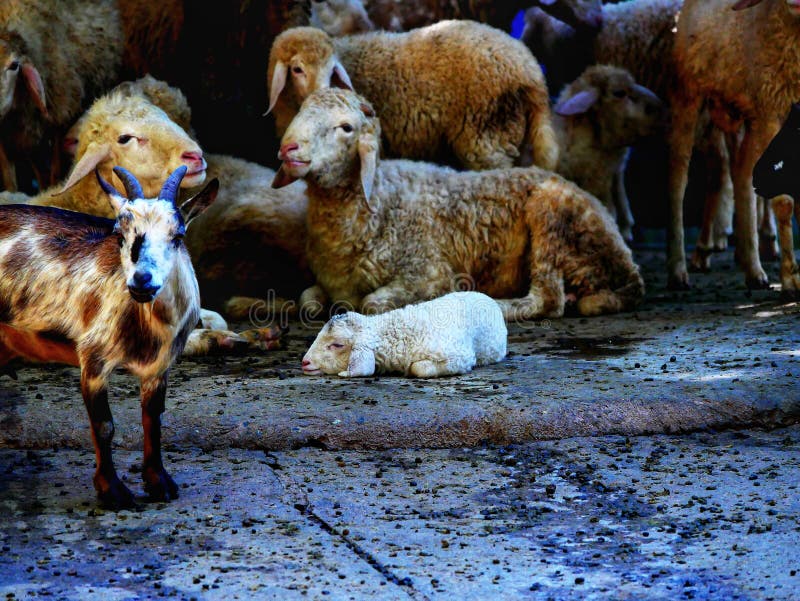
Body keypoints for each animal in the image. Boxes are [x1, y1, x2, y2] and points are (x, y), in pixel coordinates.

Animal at [0, 166, 217, 508]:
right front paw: (112, 490)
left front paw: (159, 483)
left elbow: (153, 420)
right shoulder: (93, 359)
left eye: (178, 236)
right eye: (119, 235)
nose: (142, 281)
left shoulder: (159, 367)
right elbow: (104, 425)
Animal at [273, 89, 644, 321]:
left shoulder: (428, 271)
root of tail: (629, 268)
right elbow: (307, 300)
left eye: (346, 127)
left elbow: (371, 302)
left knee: (549, 299)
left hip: (551, 215)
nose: (288, 149)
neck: (377, 200)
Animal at [666, 0, 800, 290]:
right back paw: (678, 269)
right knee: (677, 178)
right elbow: (784, 200)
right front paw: (790, 278)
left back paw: (753, 268)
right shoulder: (772, 112)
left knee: (741, 174)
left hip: (743, 117)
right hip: (687, 96)